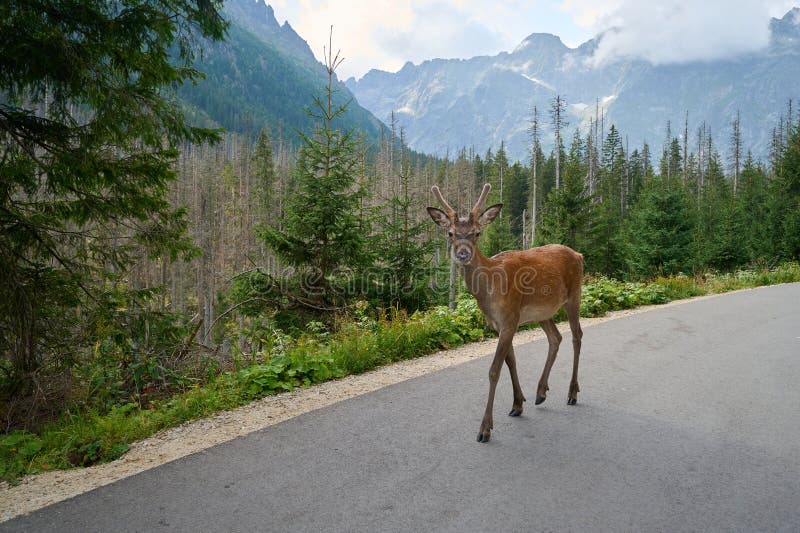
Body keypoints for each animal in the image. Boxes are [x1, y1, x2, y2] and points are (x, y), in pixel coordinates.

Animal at [427, 183, 584, 443]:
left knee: (576, 336)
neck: (489, 290)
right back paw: (541, 391)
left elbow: (494, 370)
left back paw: (572, 393)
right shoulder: (500, 324)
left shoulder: (510, 318)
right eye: (450, 233)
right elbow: (511, 362)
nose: (462, 254)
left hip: (575, 295)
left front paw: (485, 429)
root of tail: (579, 255)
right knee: (555, 337)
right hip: (543, 312)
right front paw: (518, 404)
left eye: (477, 233)